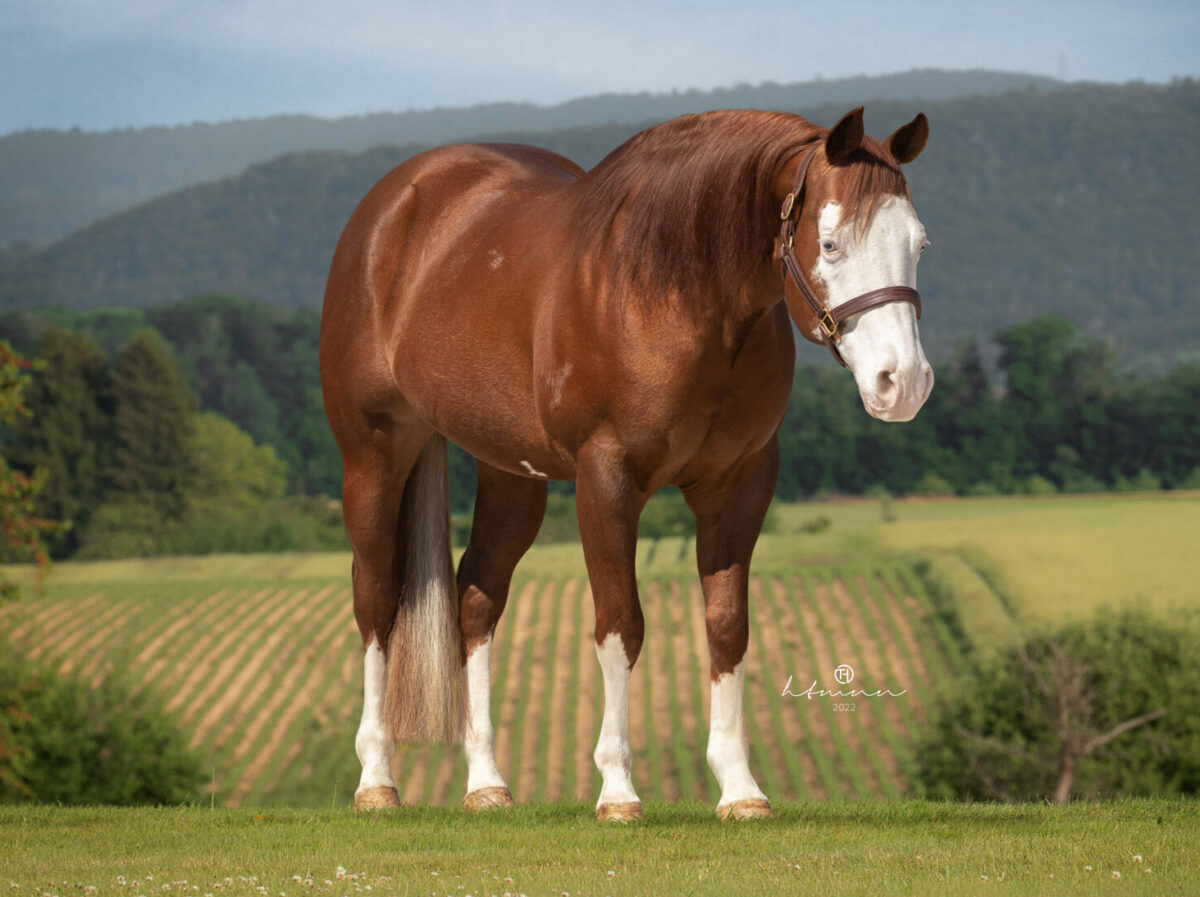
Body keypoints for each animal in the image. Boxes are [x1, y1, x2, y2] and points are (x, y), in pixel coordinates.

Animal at [319, 105, 934, 822]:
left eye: (919, 244)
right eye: (831, 243)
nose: (903, 383)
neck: (679, 295)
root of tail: (393, 203)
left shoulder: (740, 484)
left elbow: (727, 628)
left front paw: (740, 789)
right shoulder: (606, 479)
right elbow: (621, 626)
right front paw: (617, 790)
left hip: (512, 475)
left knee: (475, 598)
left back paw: (486, 783)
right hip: (373, 457)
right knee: (377, 598)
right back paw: (376, 780)